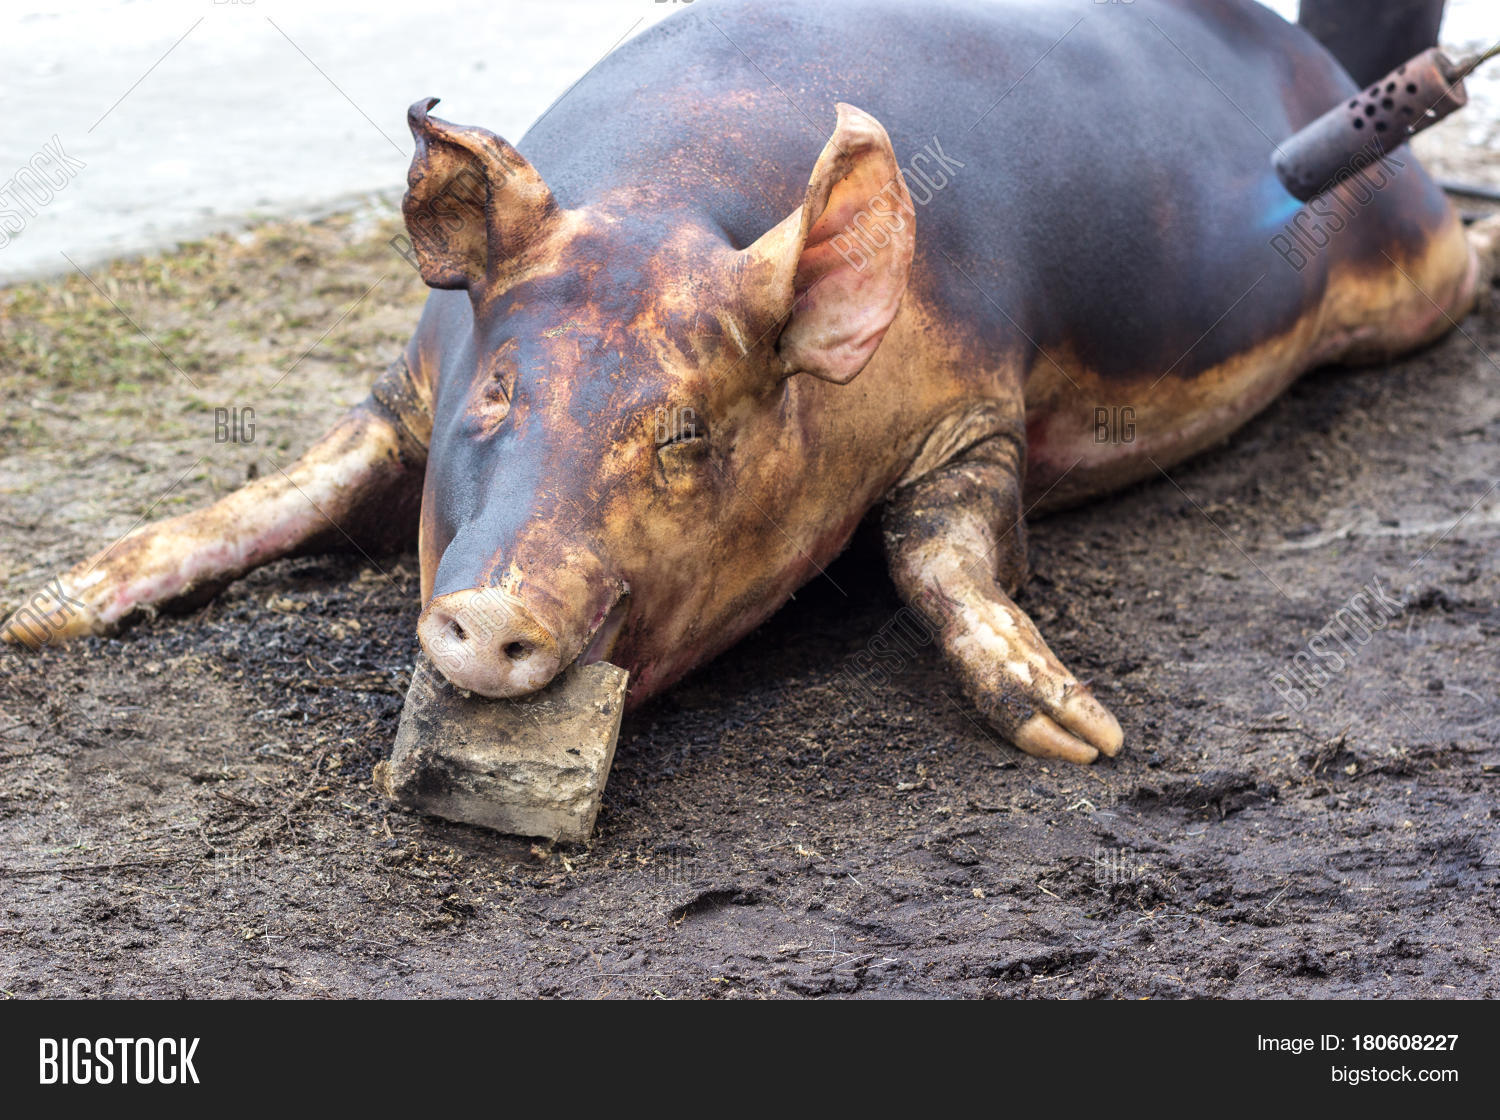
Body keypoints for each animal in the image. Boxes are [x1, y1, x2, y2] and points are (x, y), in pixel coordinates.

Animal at [6, 0, 1500, 766]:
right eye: (501, 388)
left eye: (686, 433)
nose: (490, 613)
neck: (673, 188)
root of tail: (1319, 57)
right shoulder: (403, 388)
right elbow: (284, 485)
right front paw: (42, 611)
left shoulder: (984, 403)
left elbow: (940, 547)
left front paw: (1085, 737)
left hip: (1406, 260)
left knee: (1456, 264)